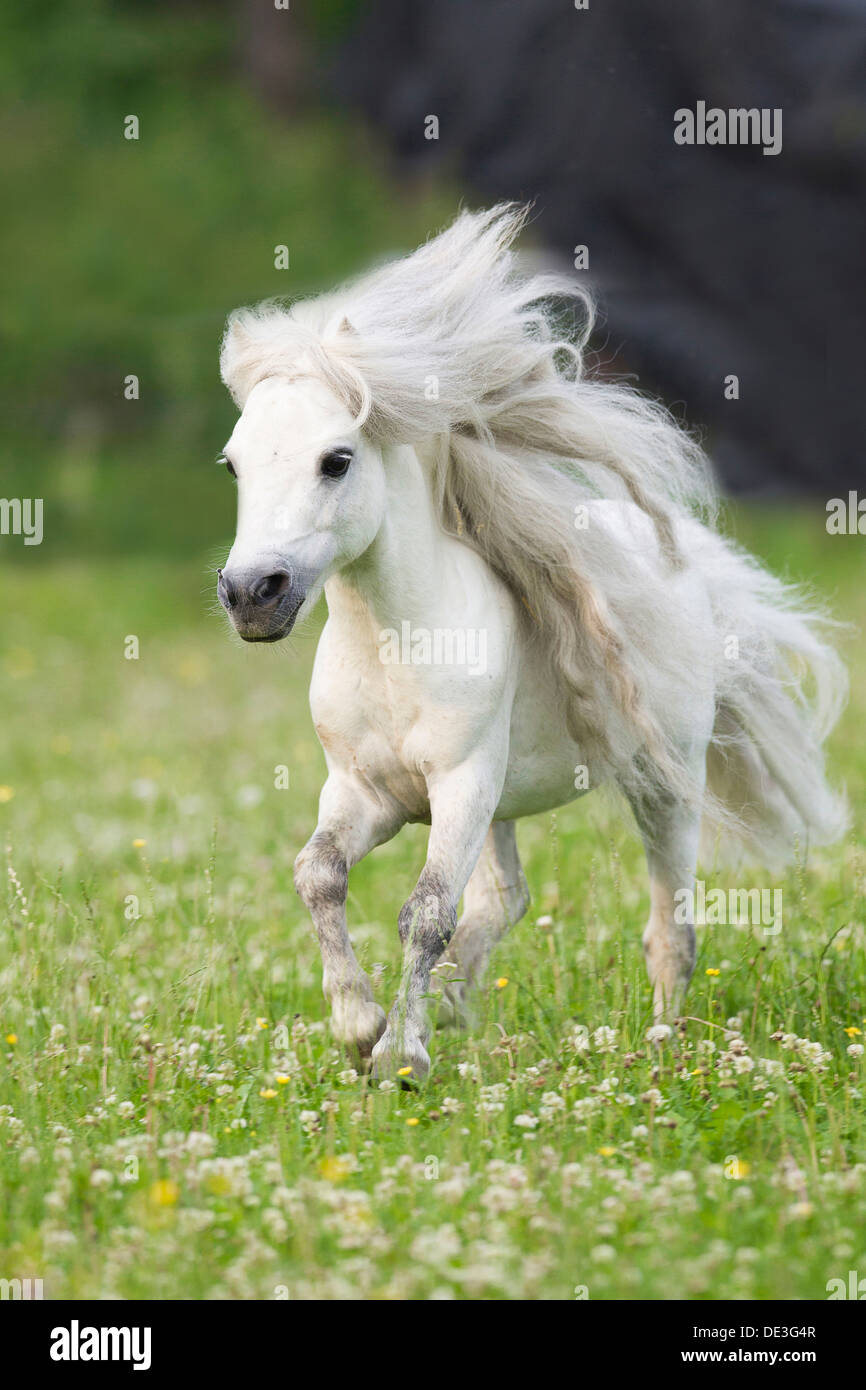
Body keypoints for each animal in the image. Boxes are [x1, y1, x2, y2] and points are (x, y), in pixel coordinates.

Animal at [215, 204, 847, 1079]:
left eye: (336, 461)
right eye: (234, 466)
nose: (251, 595)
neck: (395, 649)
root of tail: (686, 563)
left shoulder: (461, 785)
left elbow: (425, 910)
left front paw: (399, 1056)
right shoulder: (364, 791)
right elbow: (320, 875)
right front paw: (359, 1026)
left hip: (662, 783)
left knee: (671, 926)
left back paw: (659, 1044)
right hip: (506, 806)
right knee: (506, 897)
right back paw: (454, 1005)